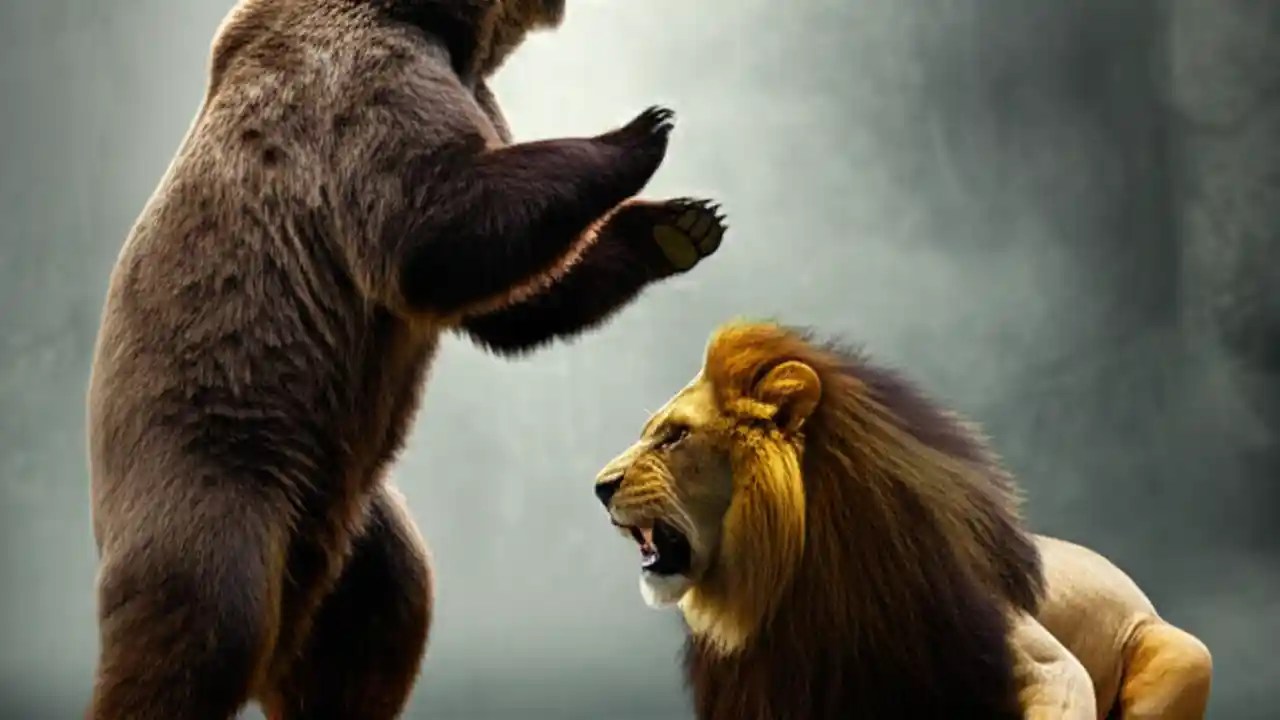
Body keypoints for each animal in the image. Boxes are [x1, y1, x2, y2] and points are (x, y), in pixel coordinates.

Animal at [84, 1, 727, 718]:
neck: (449, 31)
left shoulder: (470, 93)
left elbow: (517, 297)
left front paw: (682, 224)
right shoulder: (360, 86)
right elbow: (433, 222)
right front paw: (640, 132)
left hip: (355, 528)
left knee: (378, 622)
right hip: (216, 469)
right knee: (201, 627)